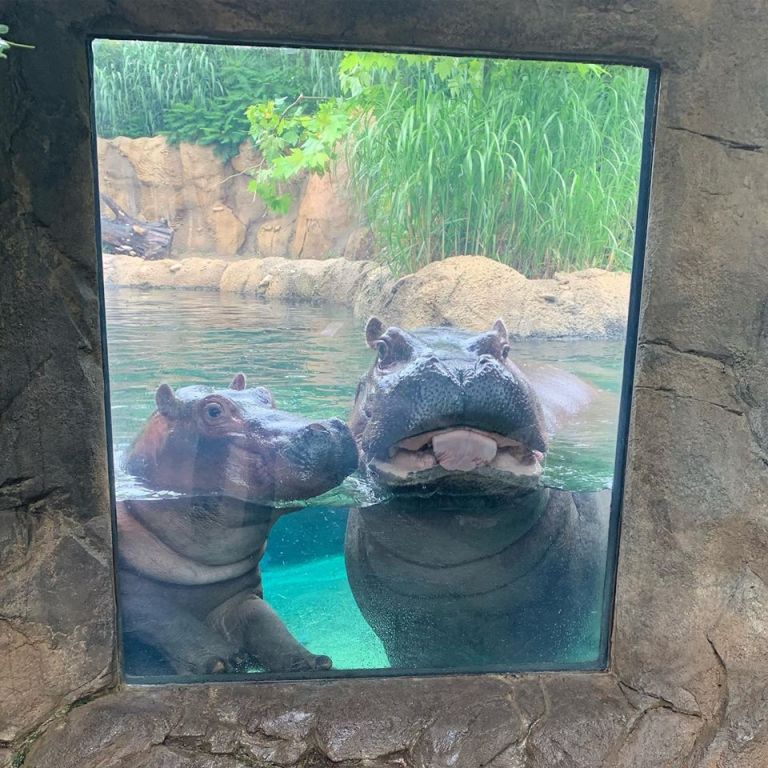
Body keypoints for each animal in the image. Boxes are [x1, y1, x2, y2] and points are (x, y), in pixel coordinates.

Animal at [117, 373, 358, 676]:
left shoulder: (240, 596)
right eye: (213, 411)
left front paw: (311, 663)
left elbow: (267, 623)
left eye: (265, 393)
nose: (331, 427)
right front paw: (223, 661)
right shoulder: (132, 593)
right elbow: (167, 619)